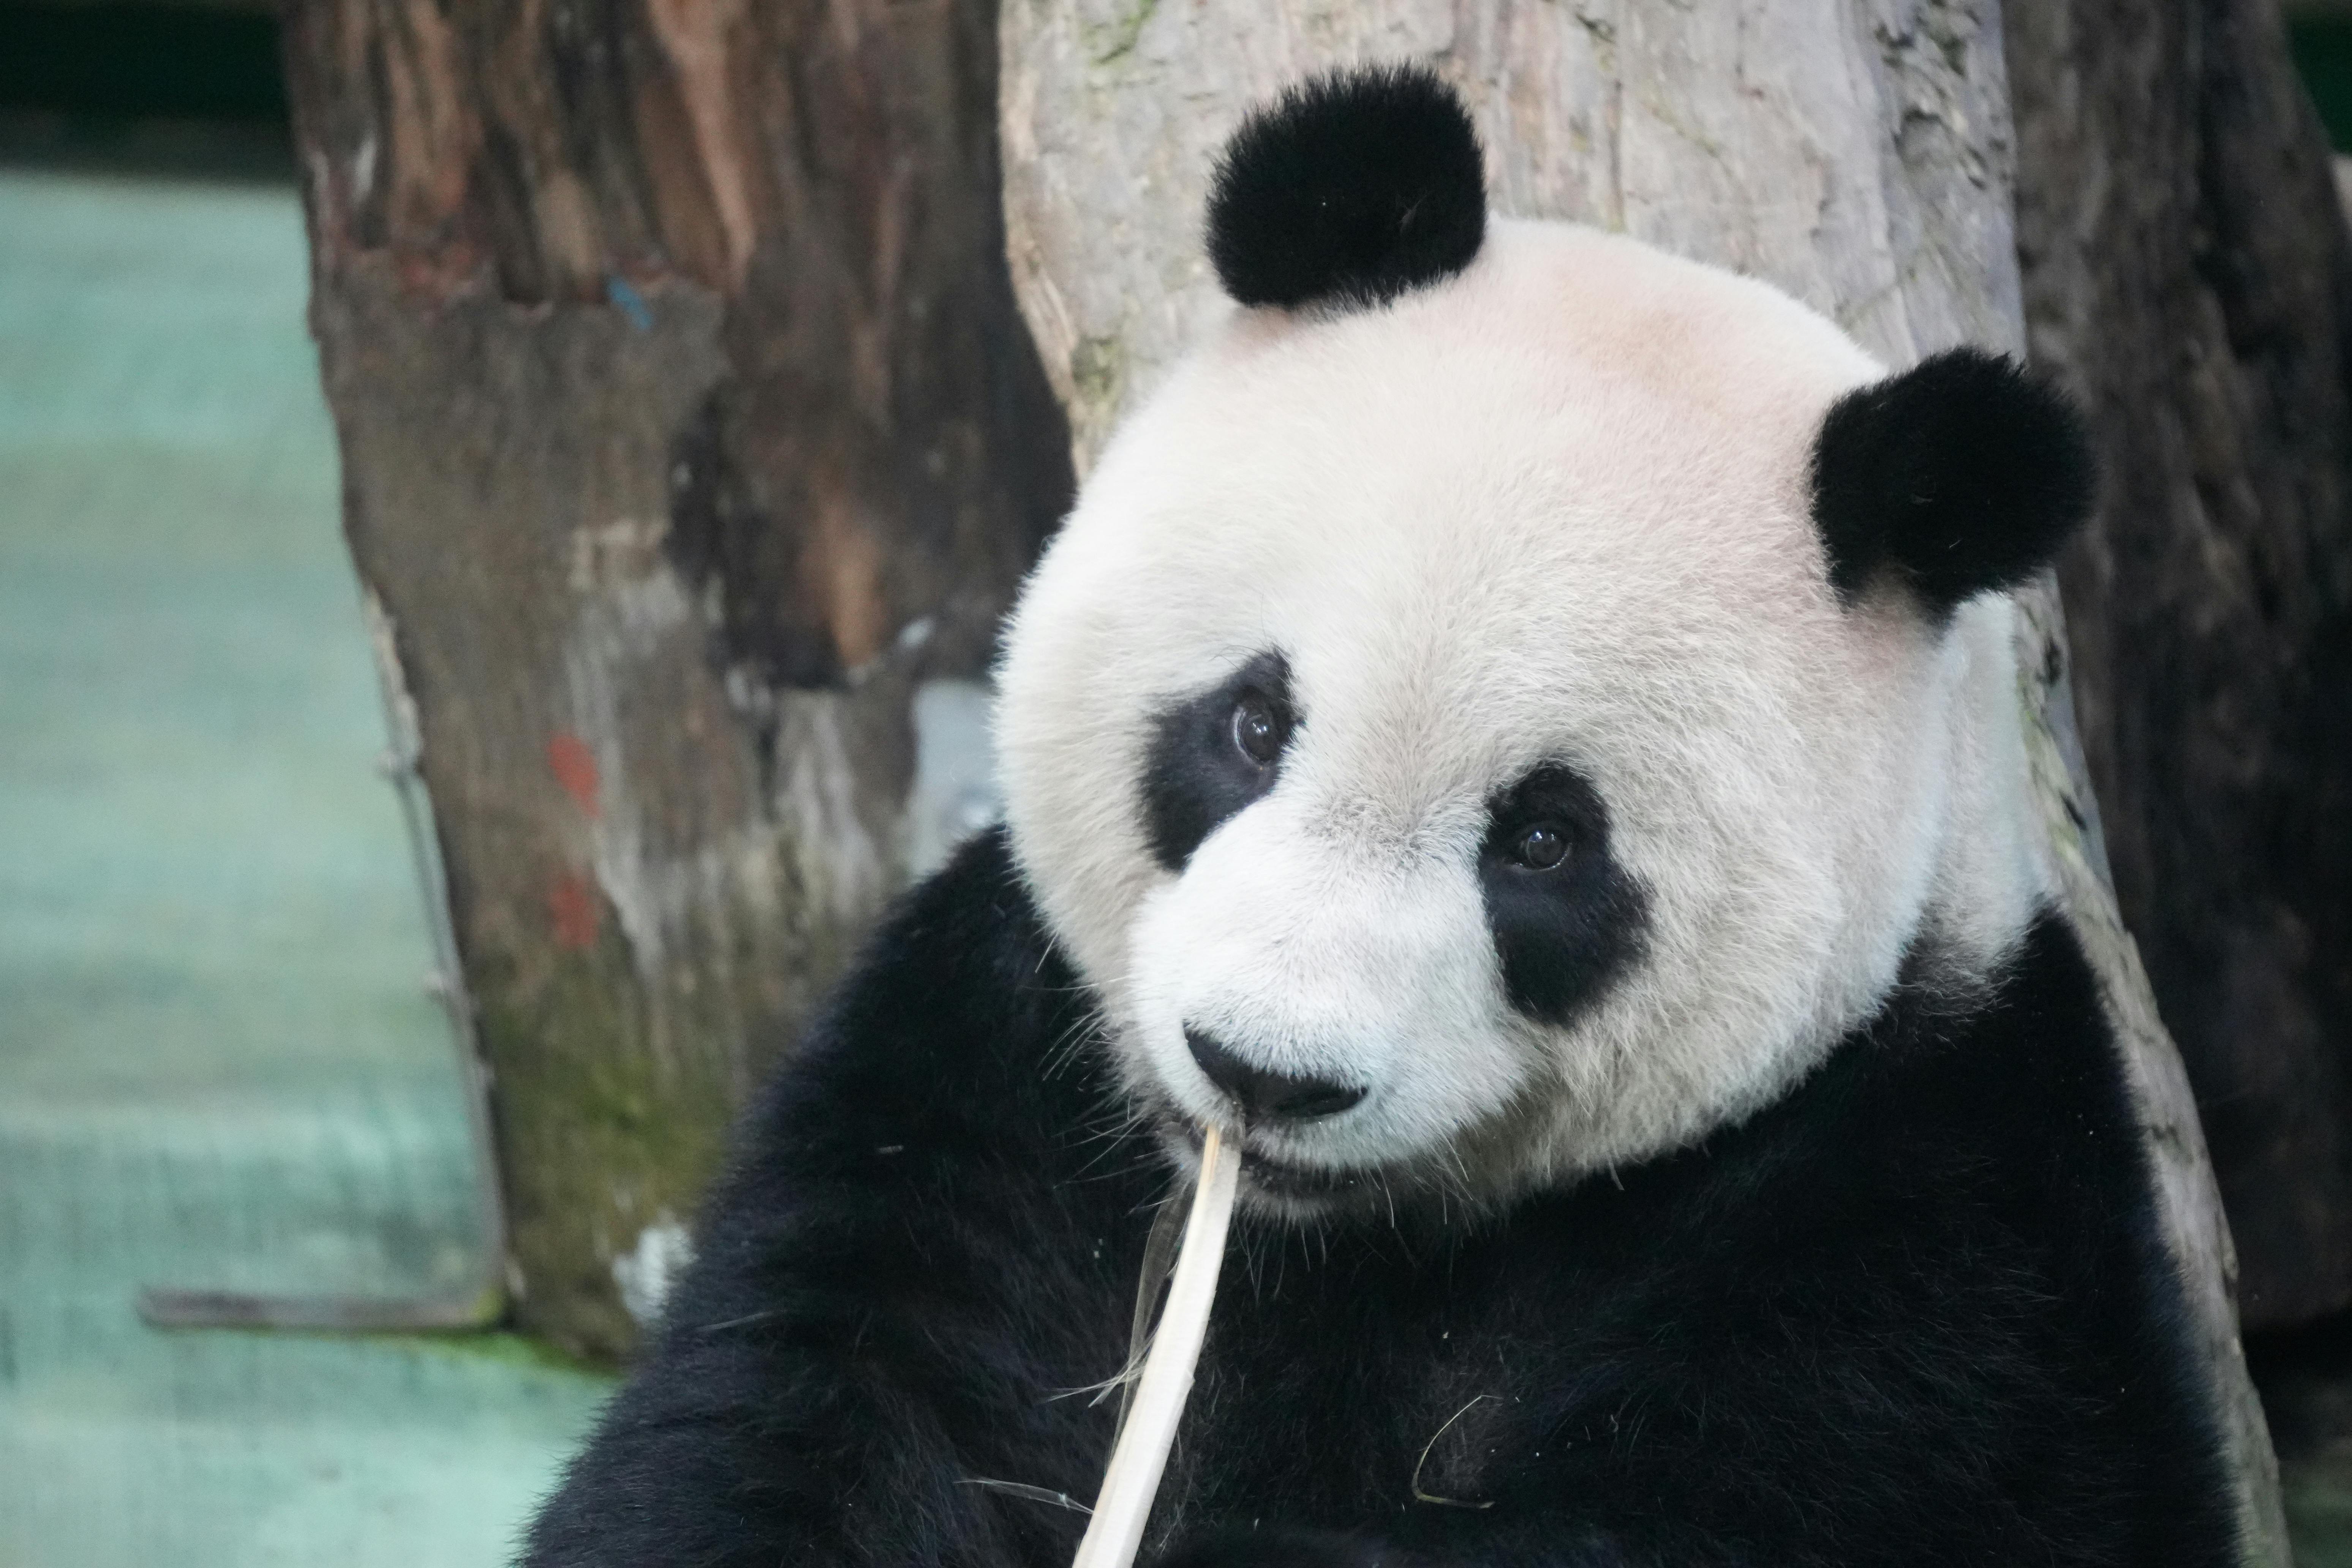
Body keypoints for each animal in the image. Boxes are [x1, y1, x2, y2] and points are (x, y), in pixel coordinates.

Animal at [527, 65, 2236, 1568]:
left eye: (1544, 841)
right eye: (1253, 723)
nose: (1263, 1074)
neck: (1339, 1245)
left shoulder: (1936, 1209)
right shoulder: (989, 1085)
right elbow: (801, 1410)